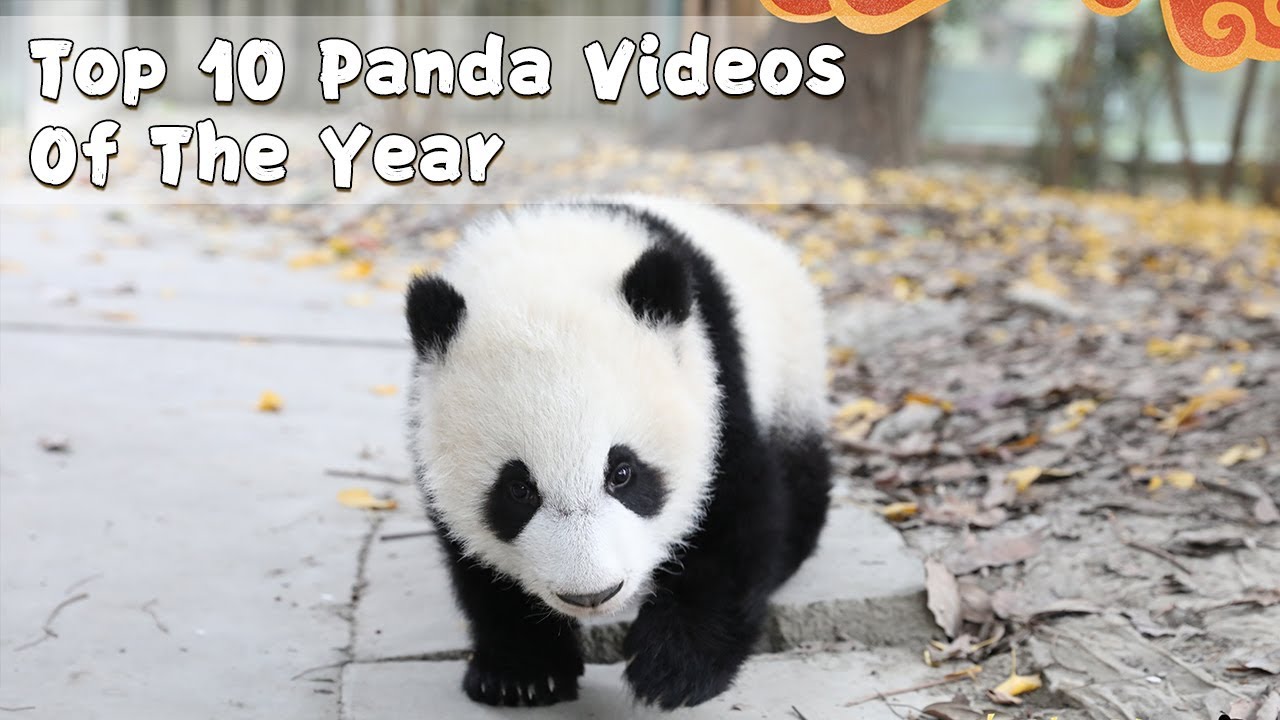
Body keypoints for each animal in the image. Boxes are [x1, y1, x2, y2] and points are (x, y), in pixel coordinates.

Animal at [405, 196, 831, 709]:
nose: (592, 594)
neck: (550, 258)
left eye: (623, 473)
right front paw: (522, 674)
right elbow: (477, 565)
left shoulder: (715, 384)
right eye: (518, 489)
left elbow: (734, 519)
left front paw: (672, 667)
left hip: (793, 372)